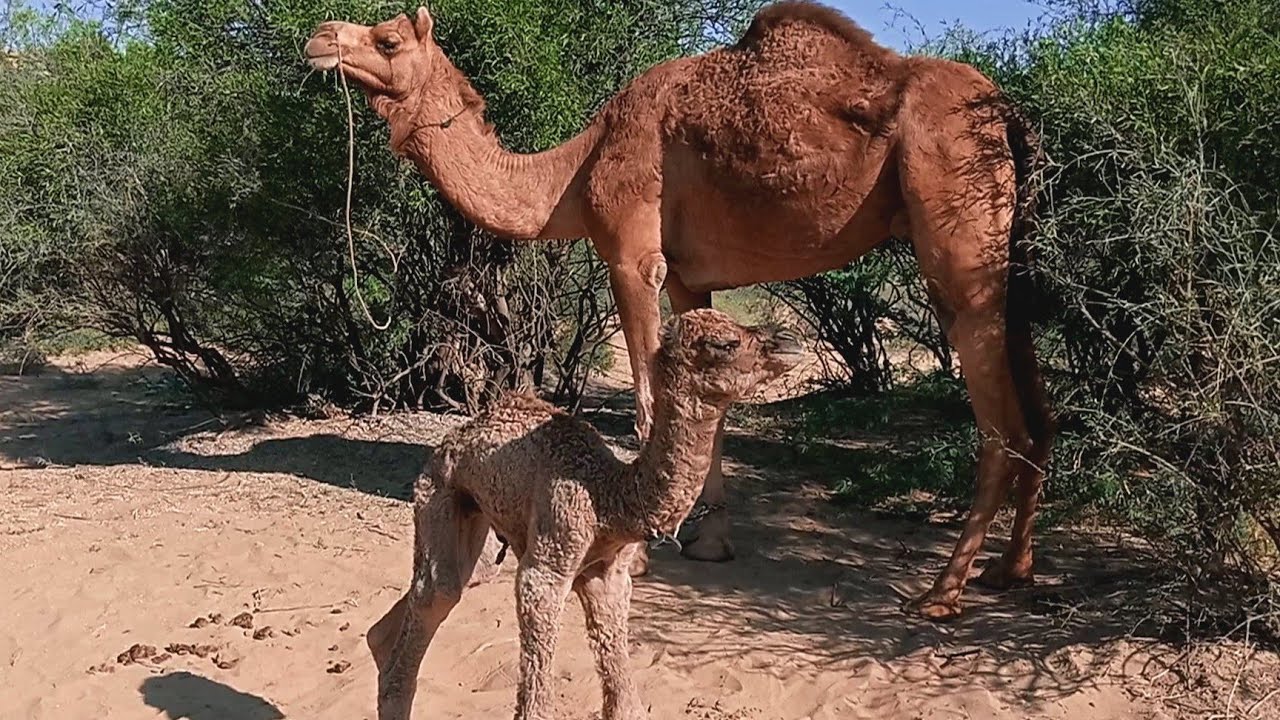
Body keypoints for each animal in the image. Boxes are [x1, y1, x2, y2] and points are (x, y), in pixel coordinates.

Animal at [305, 0, 1054, 619]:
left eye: (388, 38)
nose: (318, 38)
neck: (573, 171)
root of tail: (1007, 115)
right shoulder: (694, 278)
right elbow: (709, 410)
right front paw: (711, 540)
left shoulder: (633, 253)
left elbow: (645, 397)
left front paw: (639, 550)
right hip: (1011, 246)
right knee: (1034, 401)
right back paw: (1011, 570)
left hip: (955, 219)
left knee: (996, 415)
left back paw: (943, 591)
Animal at [366, 309, 804, 720]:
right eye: (724, 342)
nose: (792, 341)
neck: (608, 499)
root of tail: (450, 440)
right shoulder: (547, 567)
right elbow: (537, 703)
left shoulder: (608, 576)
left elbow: (624, 699)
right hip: (439, 493)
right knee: (438, 590)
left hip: (479, 525)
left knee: (444, 589)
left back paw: (378, 643)